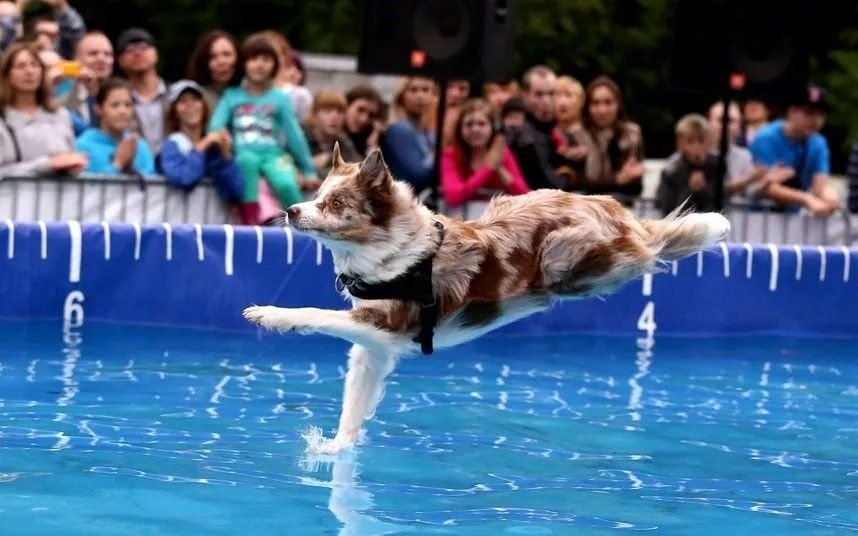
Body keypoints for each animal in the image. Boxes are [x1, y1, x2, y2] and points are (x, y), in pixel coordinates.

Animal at [242, 143, 728, 452]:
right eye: (317, 195)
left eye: (335, 203)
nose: (290, 211)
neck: (386, 249)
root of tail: (615, 208)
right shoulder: (375, 348)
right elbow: (355, 402)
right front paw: (337, 450)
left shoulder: (386, 325)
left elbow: (313, 314)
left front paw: (270, 314)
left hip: (570, 260)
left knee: (654, 245)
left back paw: (705, 225)